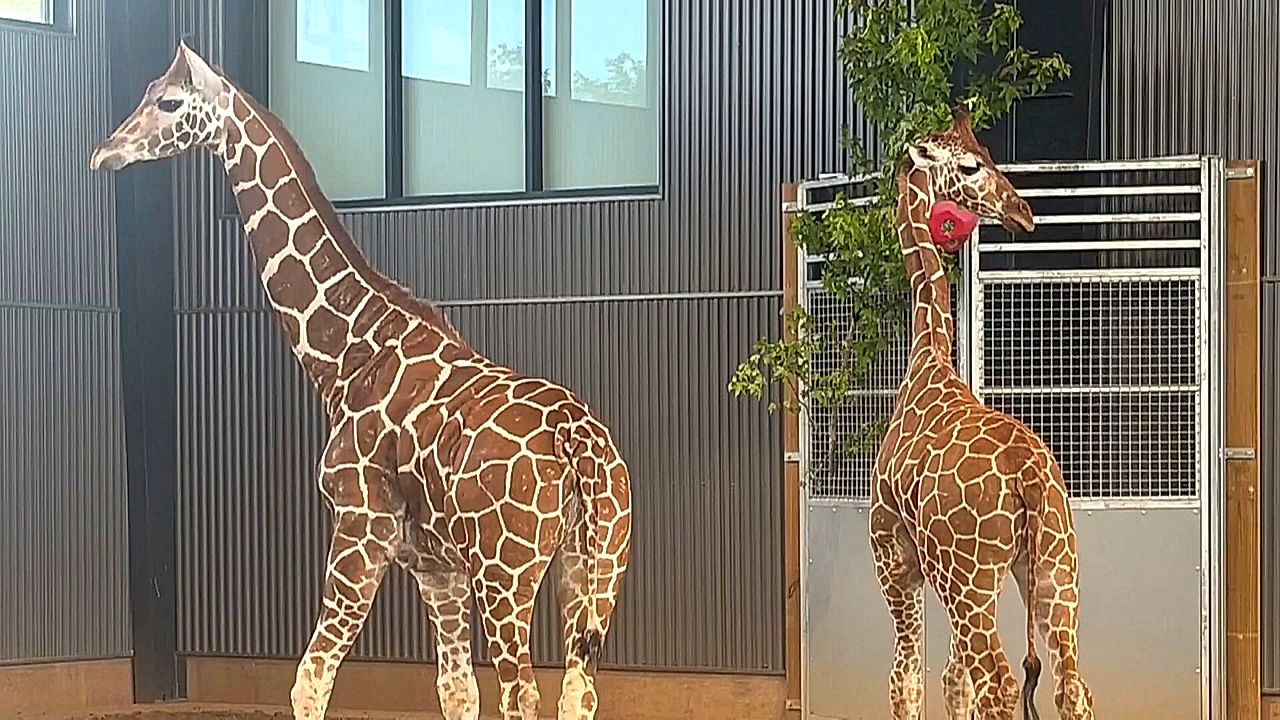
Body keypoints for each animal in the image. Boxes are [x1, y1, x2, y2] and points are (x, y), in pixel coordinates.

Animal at [89, 42, 631, 720]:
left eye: (166, 101)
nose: (103, 154)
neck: (347, 355)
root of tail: (578, 441)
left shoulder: (360, 528)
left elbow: (310, 678)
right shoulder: (436, 567)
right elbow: (456, 691)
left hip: (508, 572)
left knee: (523, 692)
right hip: (592, 565)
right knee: (578, 690)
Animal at [867, 107, 1094, 720]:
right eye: (971, 164)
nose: (1023, 212)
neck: (927, 355)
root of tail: (1030, 481)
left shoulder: (895, 560)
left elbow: (907, 680)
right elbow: (948, 681)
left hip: (970, 580)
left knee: (999, 681)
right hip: (1052, 570)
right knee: (1070, 683)